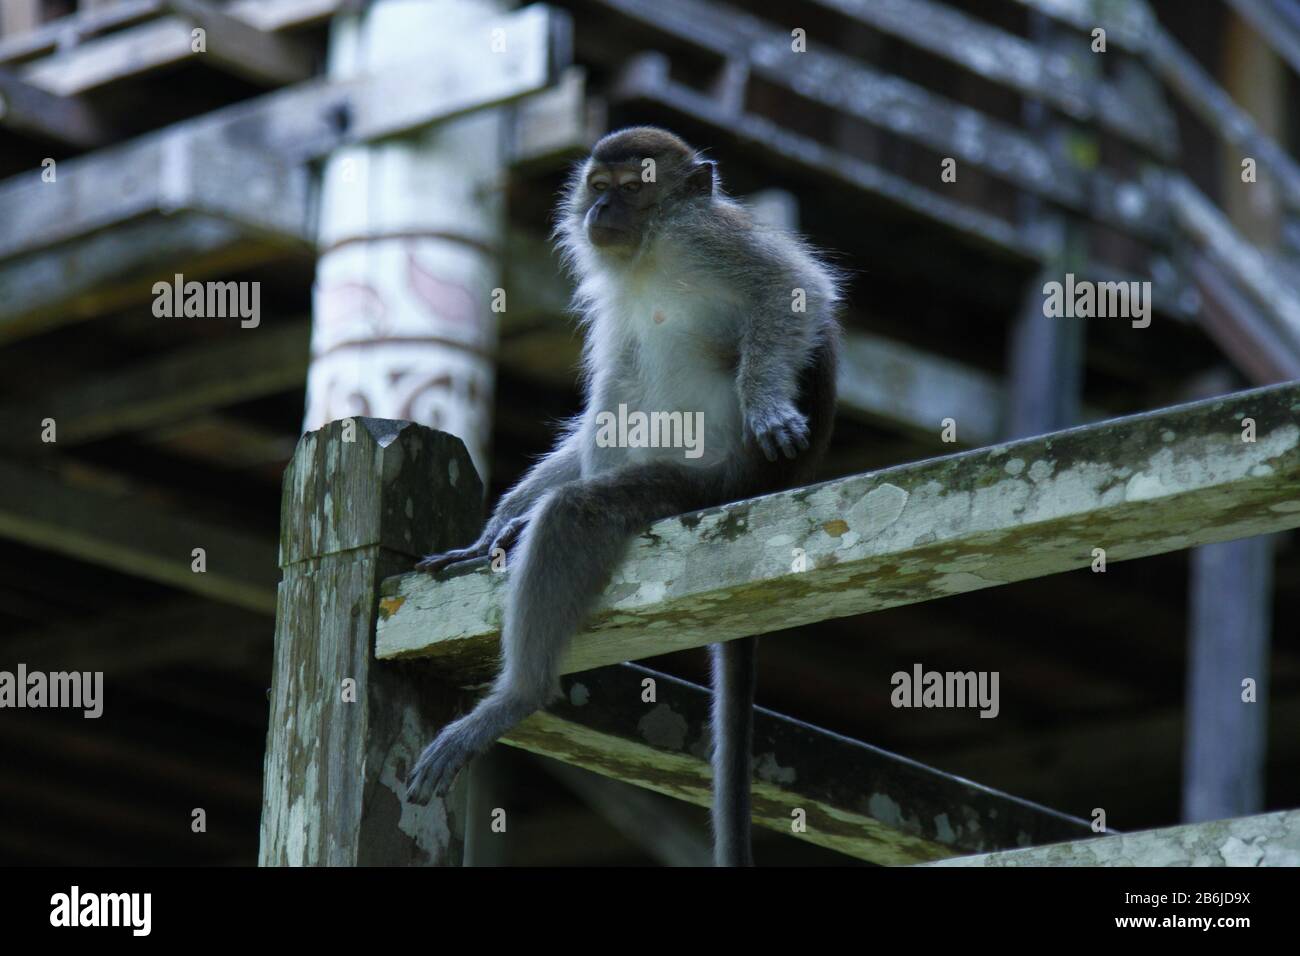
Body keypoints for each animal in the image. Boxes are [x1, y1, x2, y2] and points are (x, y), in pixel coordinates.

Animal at [406, 127, 841, 866]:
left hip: (708, 478)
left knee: (580, 511)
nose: (601, 208)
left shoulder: (707, 237)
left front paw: (768, 406)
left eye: (635, 186)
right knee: (619, 374)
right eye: (599, 185)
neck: (646, 255)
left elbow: (794, 290)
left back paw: (518, 695)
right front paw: (496, 525)